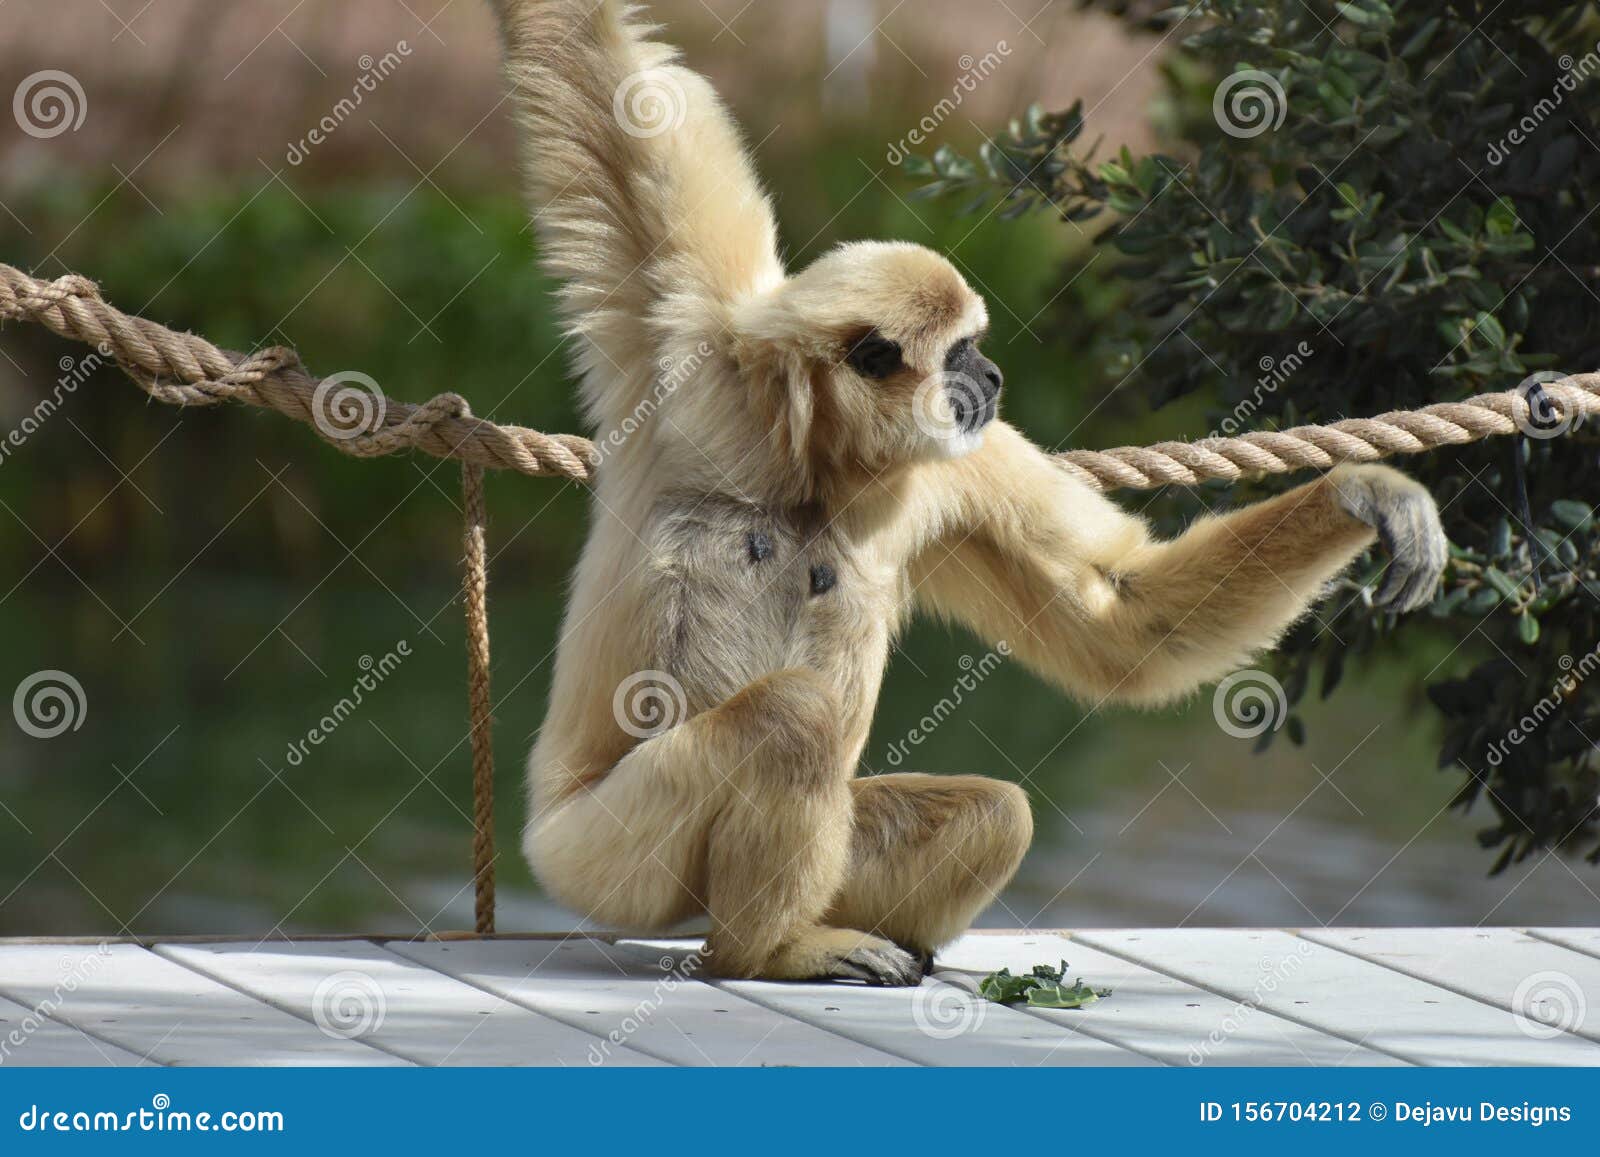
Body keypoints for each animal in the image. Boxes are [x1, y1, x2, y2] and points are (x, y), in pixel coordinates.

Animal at [488, 0, 1448, 985]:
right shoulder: (690, 349)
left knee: (991, 810)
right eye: (961, 353)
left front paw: (1361, 495)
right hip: (603, 854)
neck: (815, 459)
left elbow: (1122, 612)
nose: (991, 374)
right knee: (794, 718)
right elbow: (608, 81)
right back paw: (773, 951)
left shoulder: (949, 465)